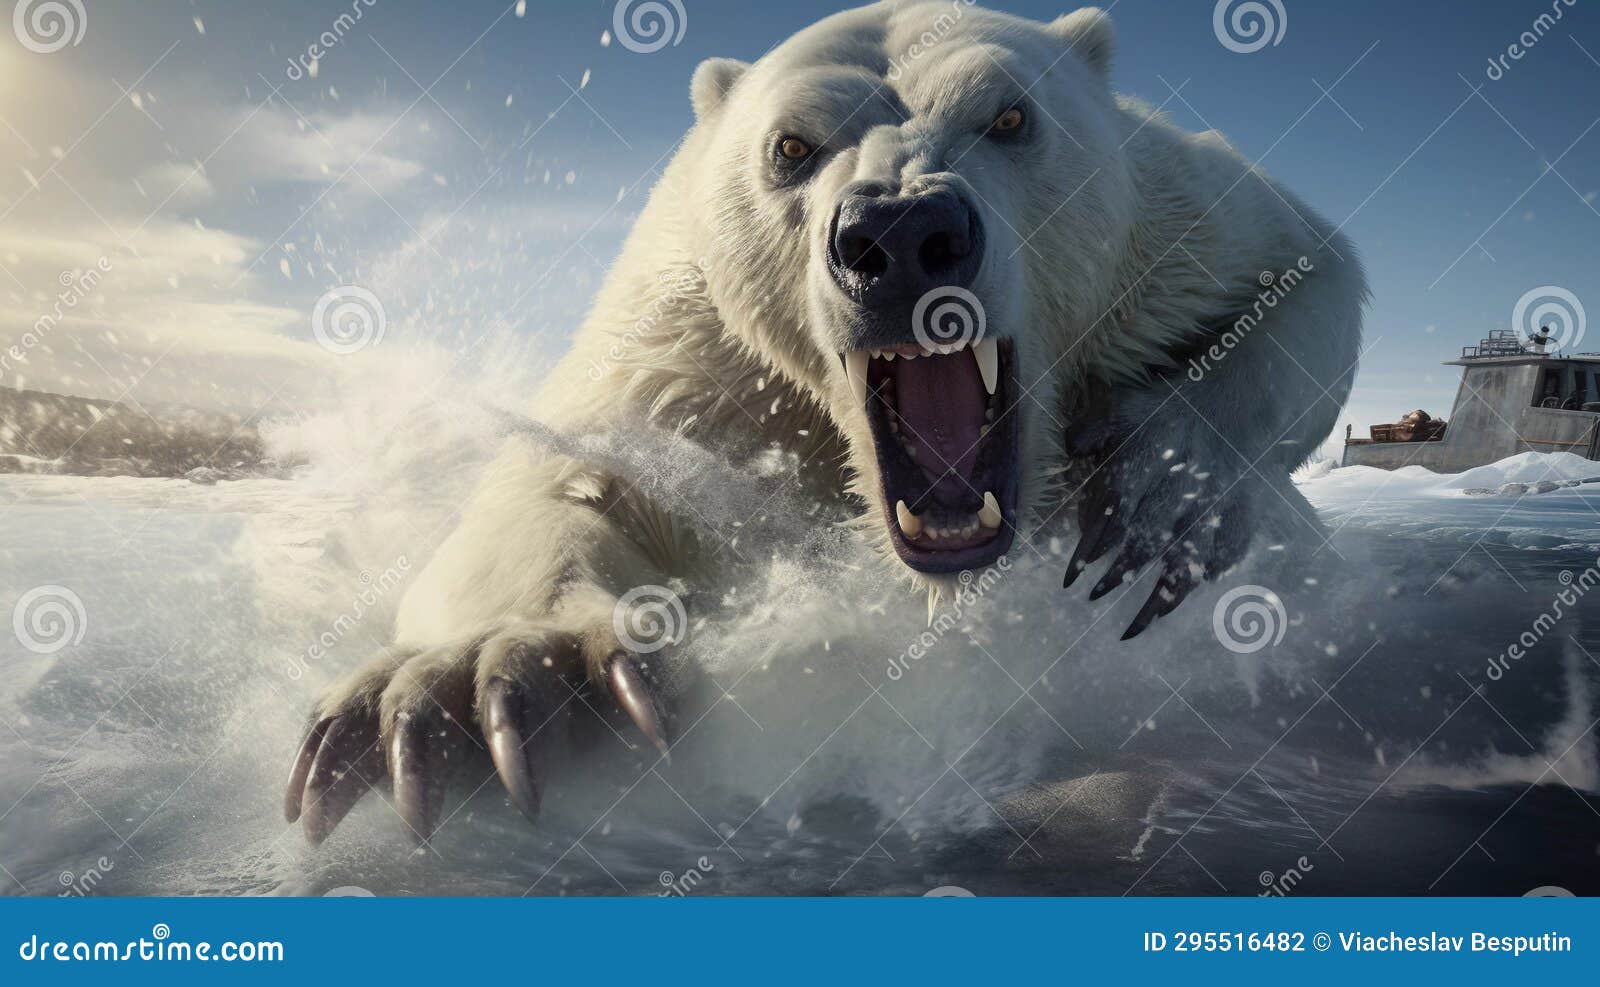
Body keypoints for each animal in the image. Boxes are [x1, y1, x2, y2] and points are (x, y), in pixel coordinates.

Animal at [283, 1, 1365, 845]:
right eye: (790, 148)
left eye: (1011, 115)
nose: (902, 232)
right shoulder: (693, 353)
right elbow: (566, 480)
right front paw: (472, 687)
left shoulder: (1164, 230)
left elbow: (1309, 268)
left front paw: (1161, 497)